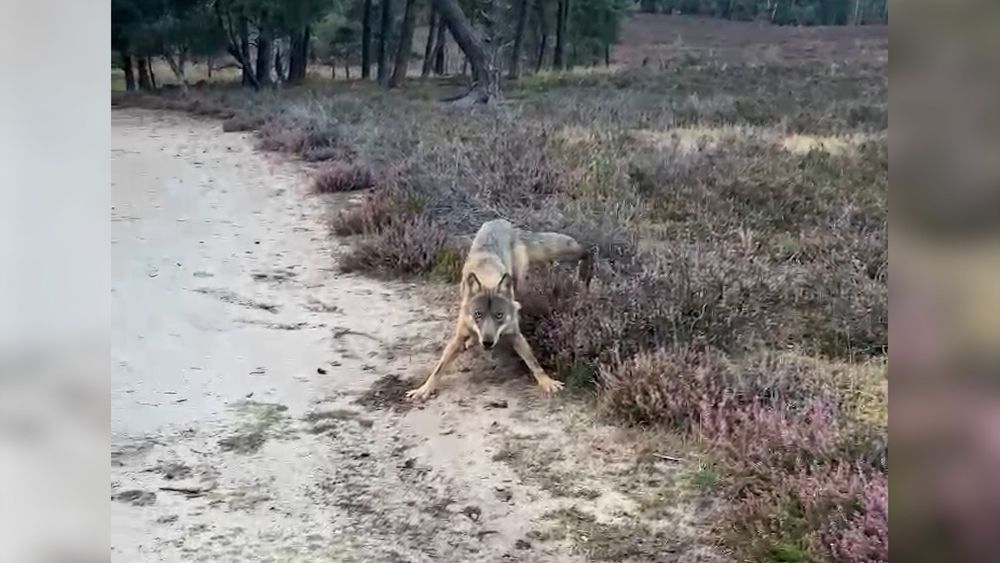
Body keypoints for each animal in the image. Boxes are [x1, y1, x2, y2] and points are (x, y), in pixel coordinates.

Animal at [406, 219, 593, 401]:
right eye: (478, 315)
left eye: (499, 316)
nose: (488, 342)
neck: (487, 275)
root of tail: (503, 222)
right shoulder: (458, 337)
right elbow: (439, 368)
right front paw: (424, 389)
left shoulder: (515, 335)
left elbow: (534, 363)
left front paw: (547, 382)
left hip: (518, 281)